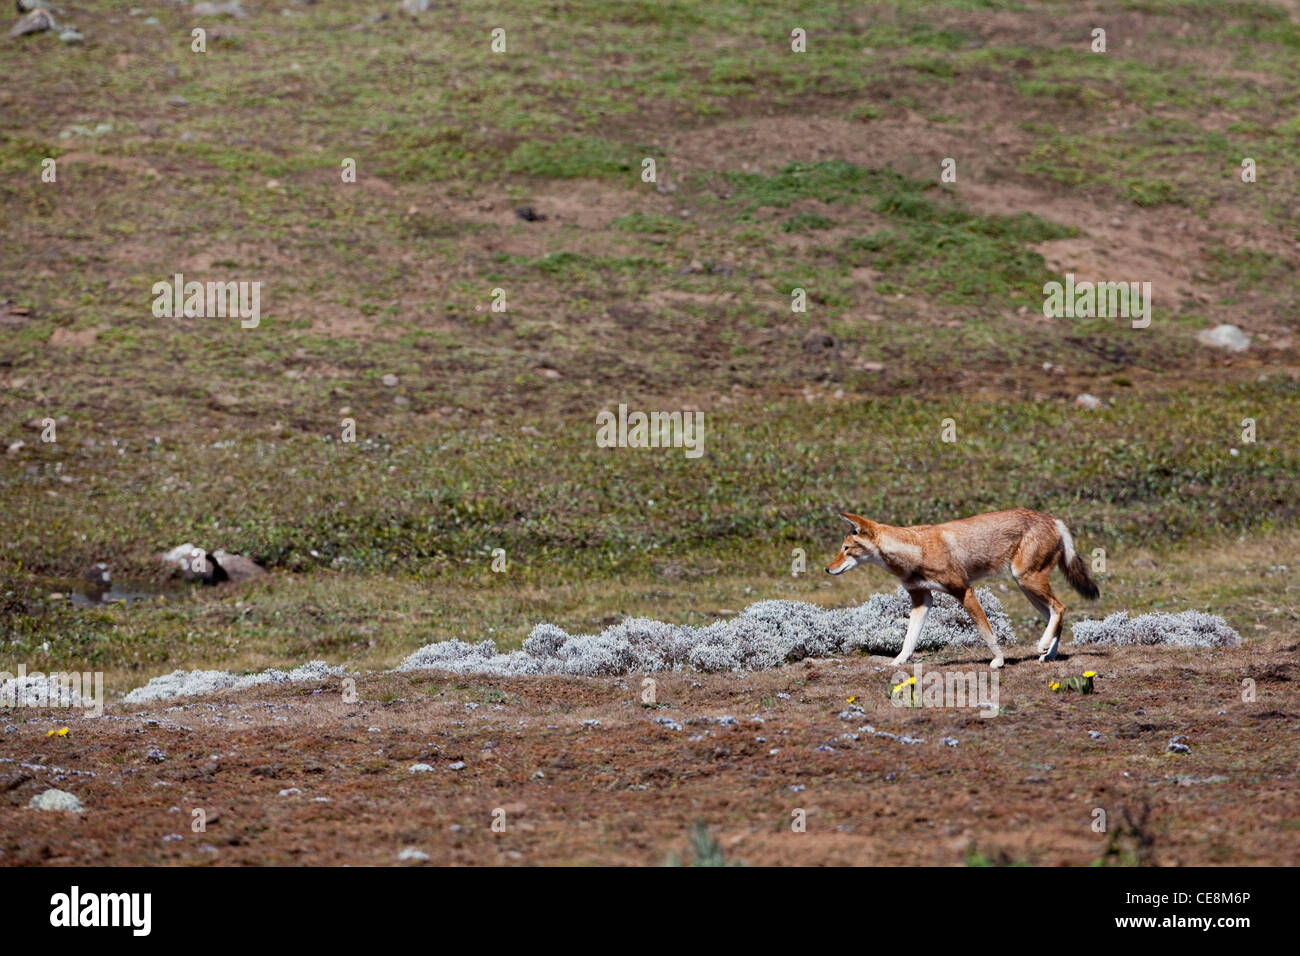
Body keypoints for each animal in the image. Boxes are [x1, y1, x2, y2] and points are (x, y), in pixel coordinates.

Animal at [825, 508, 1099, 668]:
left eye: (846, 549)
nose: (827, 569)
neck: (916, 550)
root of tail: (1054, 519)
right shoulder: (922, 600)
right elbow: (909, 640)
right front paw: (897, 662)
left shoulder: (964, 591)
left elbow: (986, 631)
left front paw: (998, 661)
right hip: (1026, 587)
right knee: (1056, 613)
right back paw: (1048, 654)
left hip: (1026, 581)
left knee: (1060, 608)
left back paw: (1043, 647)